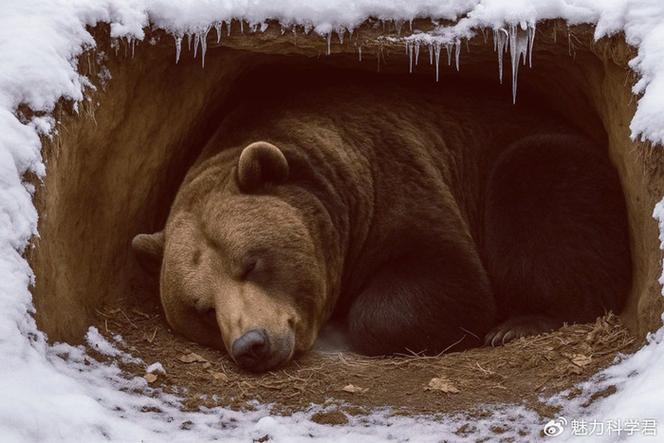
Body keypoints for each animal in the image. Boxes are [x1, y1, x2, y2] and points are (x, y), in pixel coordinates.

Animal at [132, 75, 631, 373]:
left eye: (251, 263)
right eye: (201, 307)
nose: (252, 344)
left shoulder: (396, 177)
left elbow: (447, 278)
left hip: (550, 163)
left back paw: (522, 323)